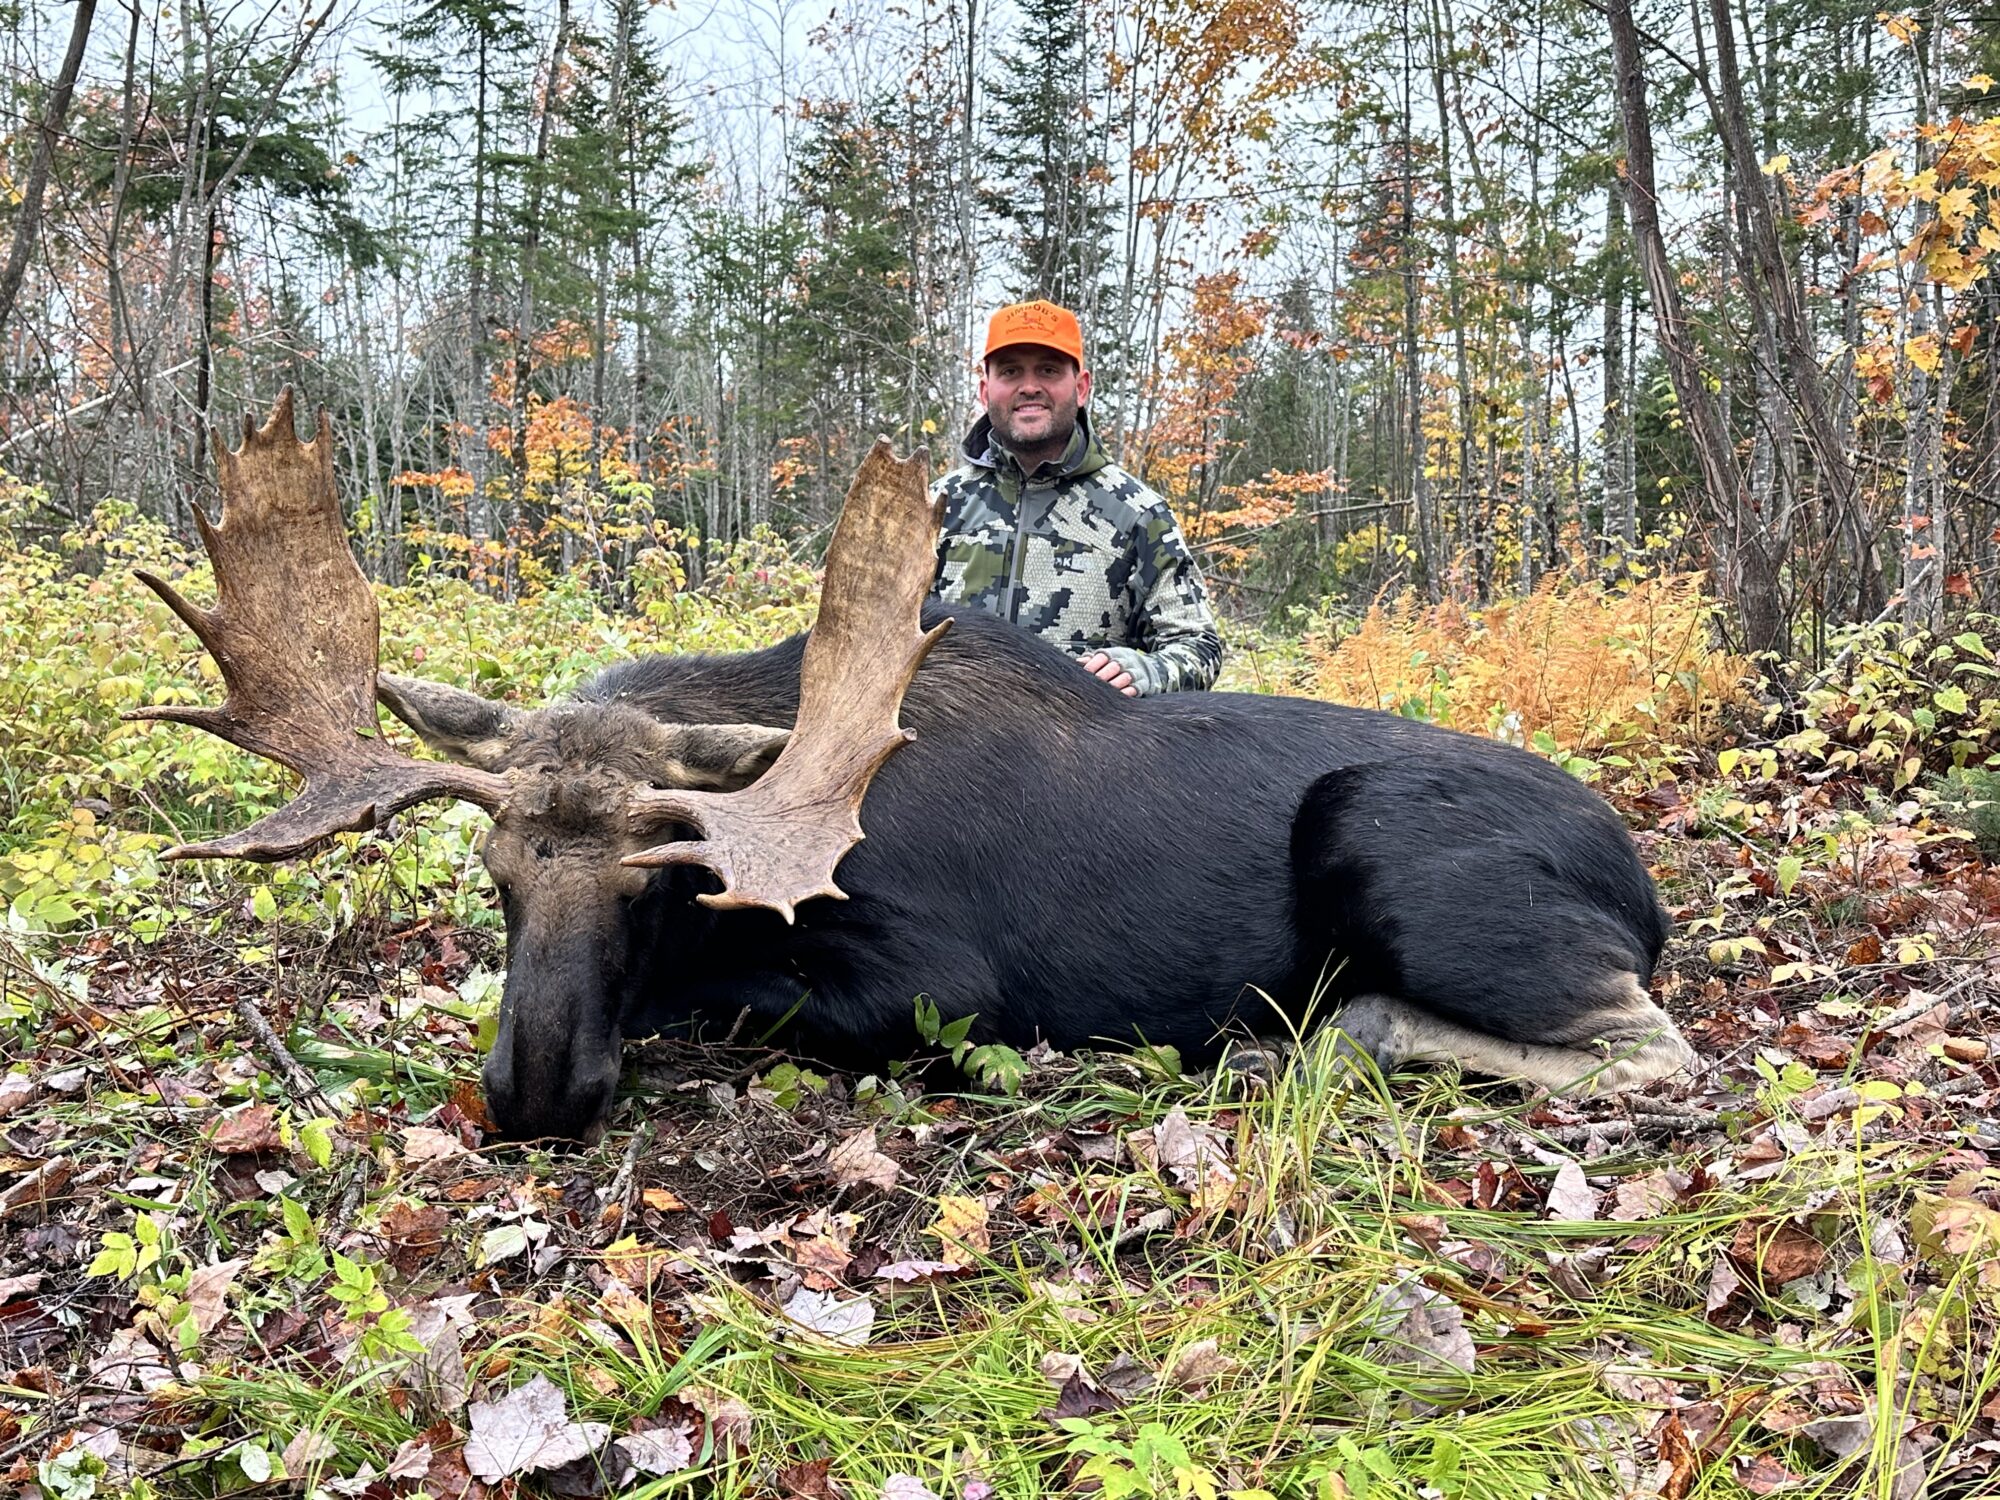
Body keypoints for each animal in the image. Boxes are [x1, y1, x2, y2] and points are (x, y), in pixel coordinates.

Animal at [131, 393, 1693, 1139]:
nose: (530, 1095)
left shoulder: (941, 983)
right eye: (497, 876)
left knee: (1650, 1052)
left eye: (655, 880)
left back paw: (1314, 1036)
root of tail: (1643, 886)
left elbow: (742, 1006)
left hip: (1409, 858)